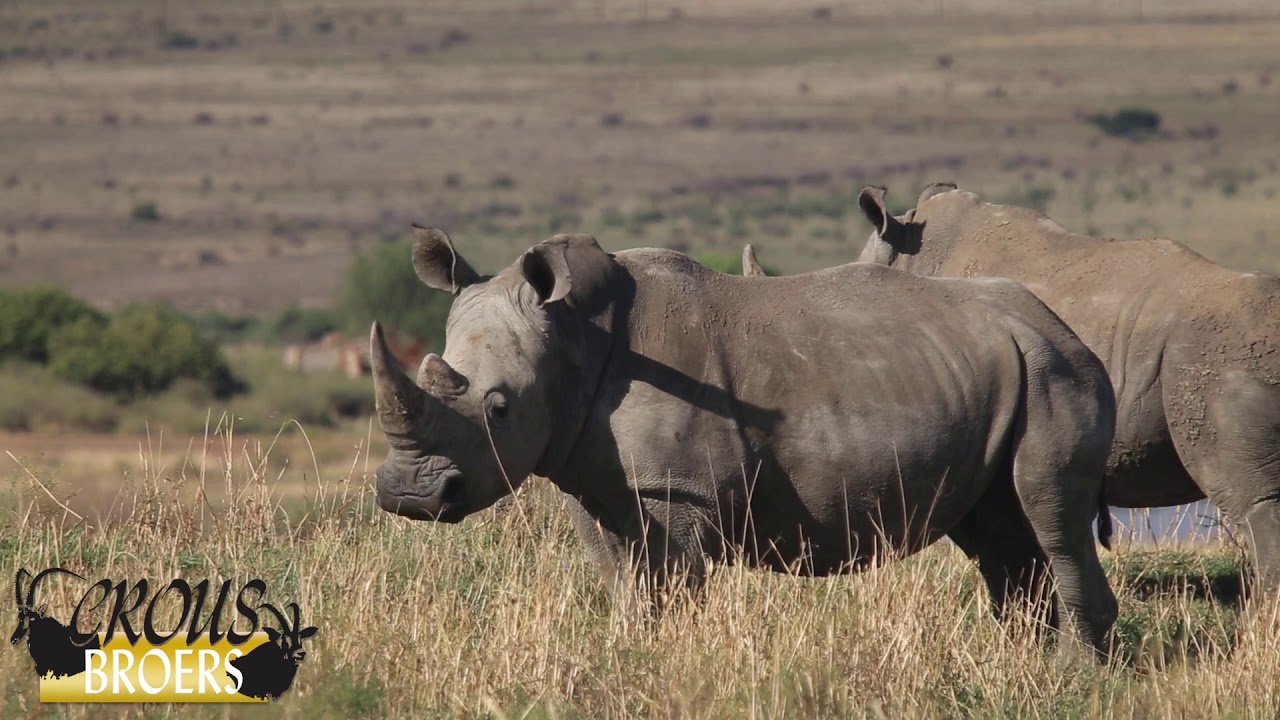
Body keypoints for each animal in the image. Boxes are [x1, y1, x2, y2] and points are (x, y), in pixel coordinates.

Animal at [371, 225, 1119, 651]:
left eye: (498, 408)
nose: (411, 495)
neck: (572, 342)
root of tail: (1057, 322)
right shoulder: (592, 479)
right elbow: (624, 590)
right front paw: (628, 659)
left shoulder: (681, 492)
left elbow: (671, 595)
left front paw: (667, 665)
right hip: (997, 369)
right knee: (999, 536)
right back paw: (1022, 666)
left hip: (1055, 368)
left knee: (1049, 516)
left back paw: (1075, 677)